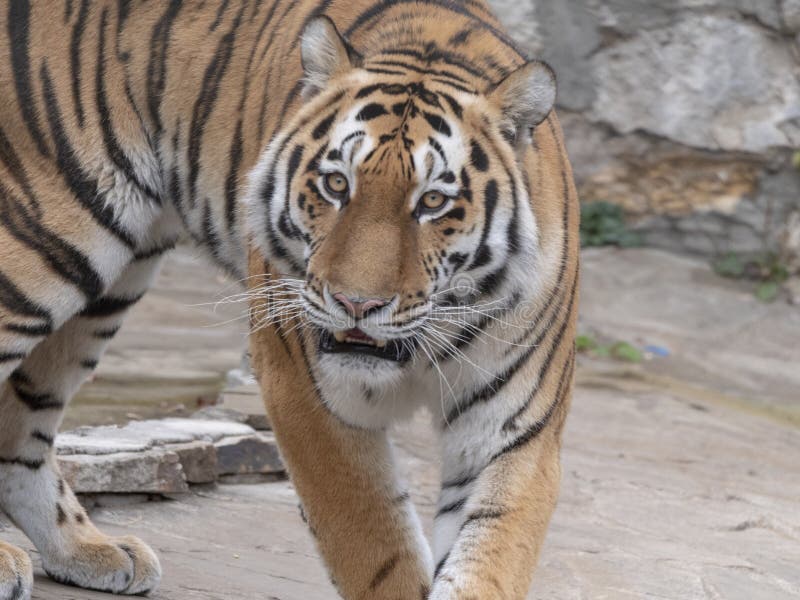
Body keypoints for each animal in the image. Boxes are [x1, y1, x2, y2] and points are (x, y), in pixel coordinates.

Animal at [0, 0, 579, 598]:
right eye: (336, 185)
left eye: (433, 202)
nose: (356, 305)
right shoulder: (308, 394)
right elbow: (376, 545)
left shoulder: (512, 428)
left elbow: (491, 552)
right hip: (42, 241)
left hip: (113, 283)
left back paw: (88, 550)